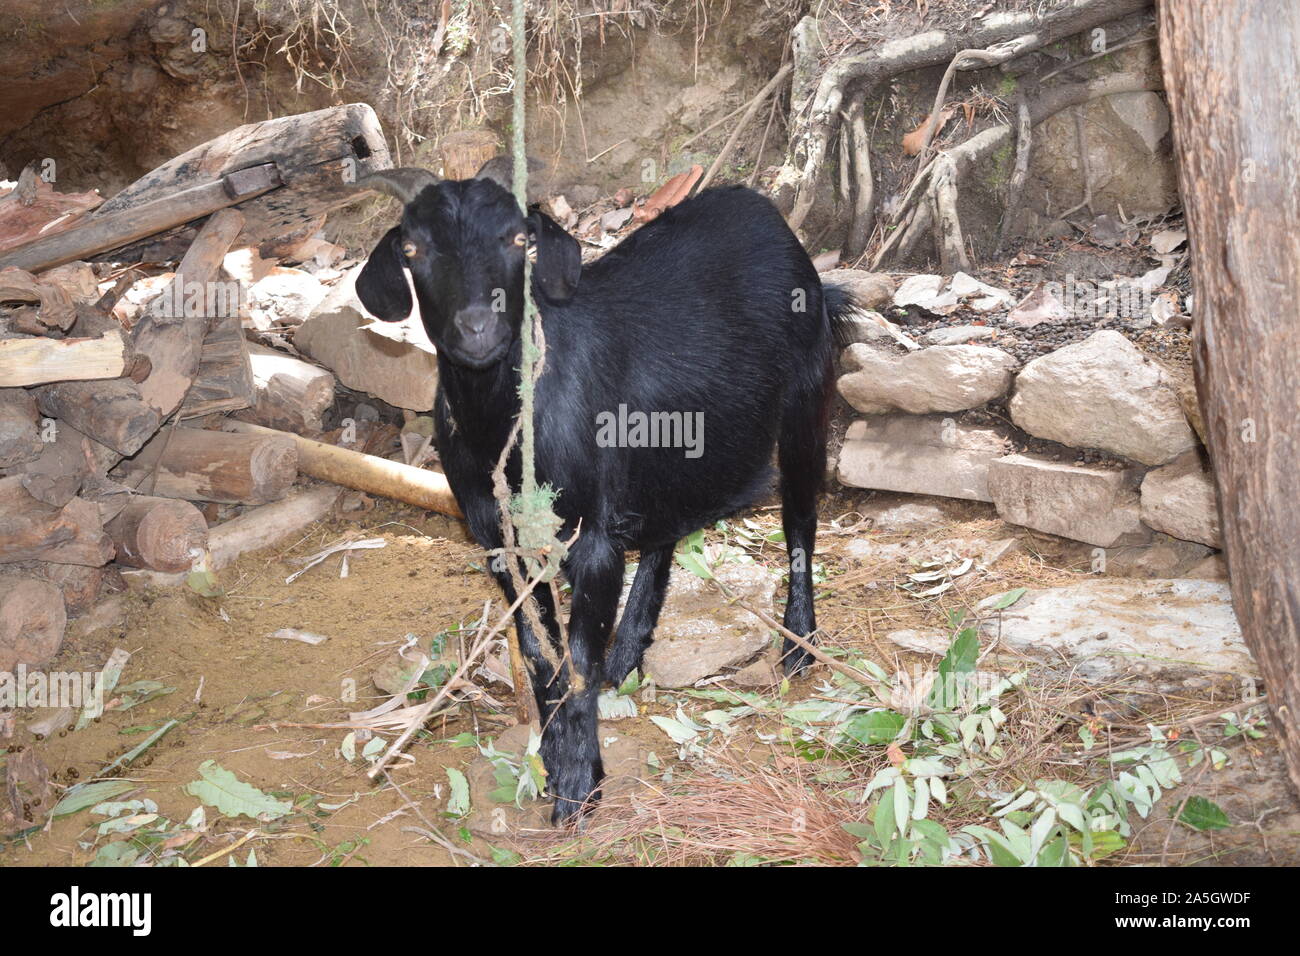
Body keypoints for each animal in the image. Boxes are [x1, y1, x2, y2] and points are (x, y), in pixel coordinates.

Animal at [355, 161, 856, 824]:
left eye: (518, 239)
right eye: (412, 250)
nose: (478, 327)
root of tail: (766, 214)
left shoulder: (589, 534)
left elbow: (579, 657)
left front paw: (579, 782)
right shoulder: (499, 538)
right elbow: (539, 651)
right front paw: (552, 756)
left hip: (805, 394)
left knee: (800, 515)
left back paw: (799, 644)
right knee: (668, 529)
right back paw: (631, 650)